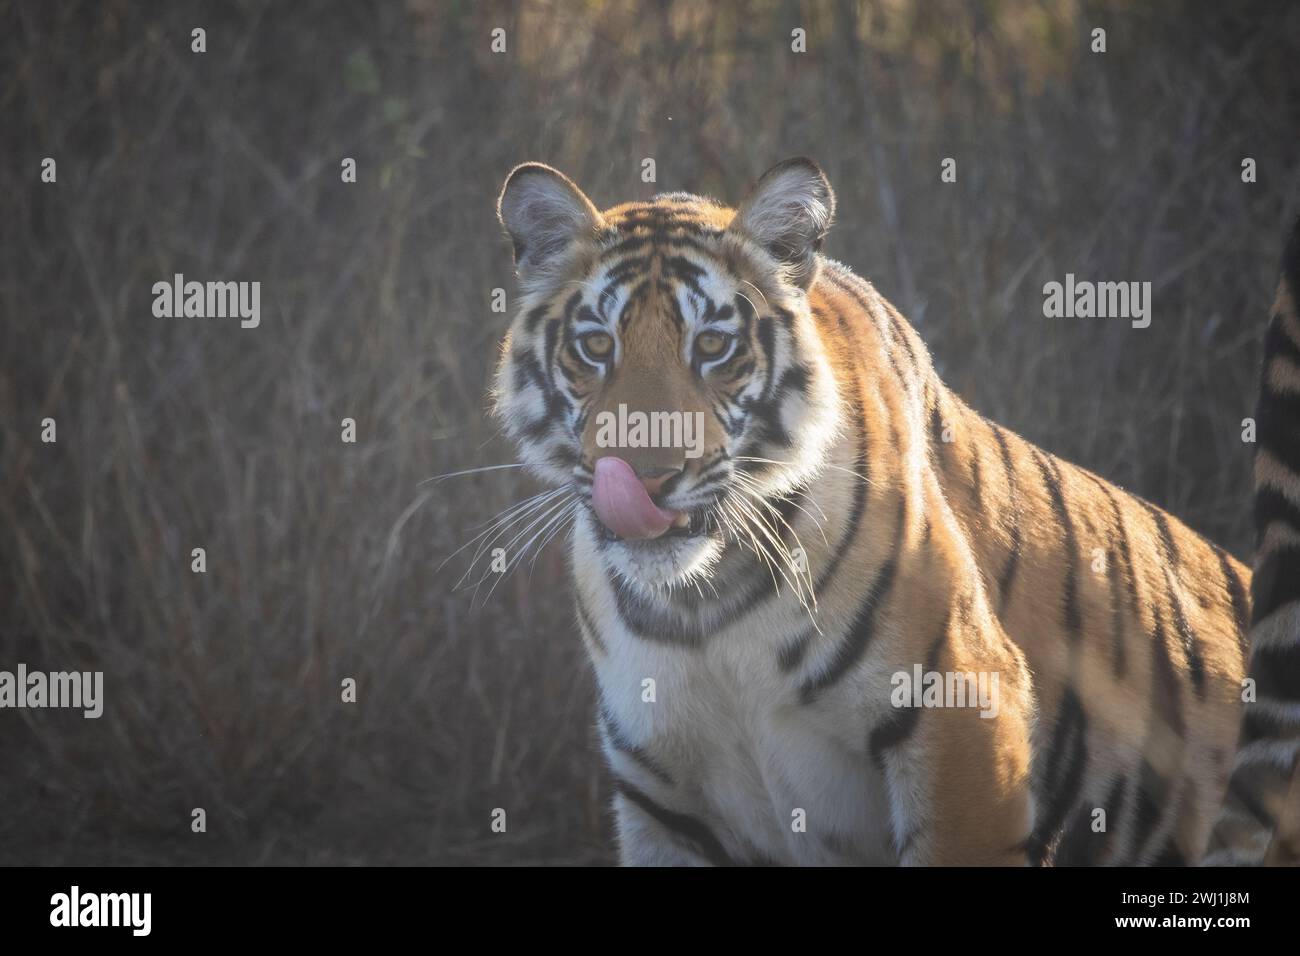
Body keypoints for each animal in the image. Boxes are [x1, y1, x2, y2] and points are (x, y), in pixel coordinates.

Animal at [489, 157, 1300, 865]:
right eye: (597, 346)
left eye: (713, 344)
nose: (647, 479)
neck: (702, 608)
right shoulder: (661, 795)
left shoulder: (965, 718)